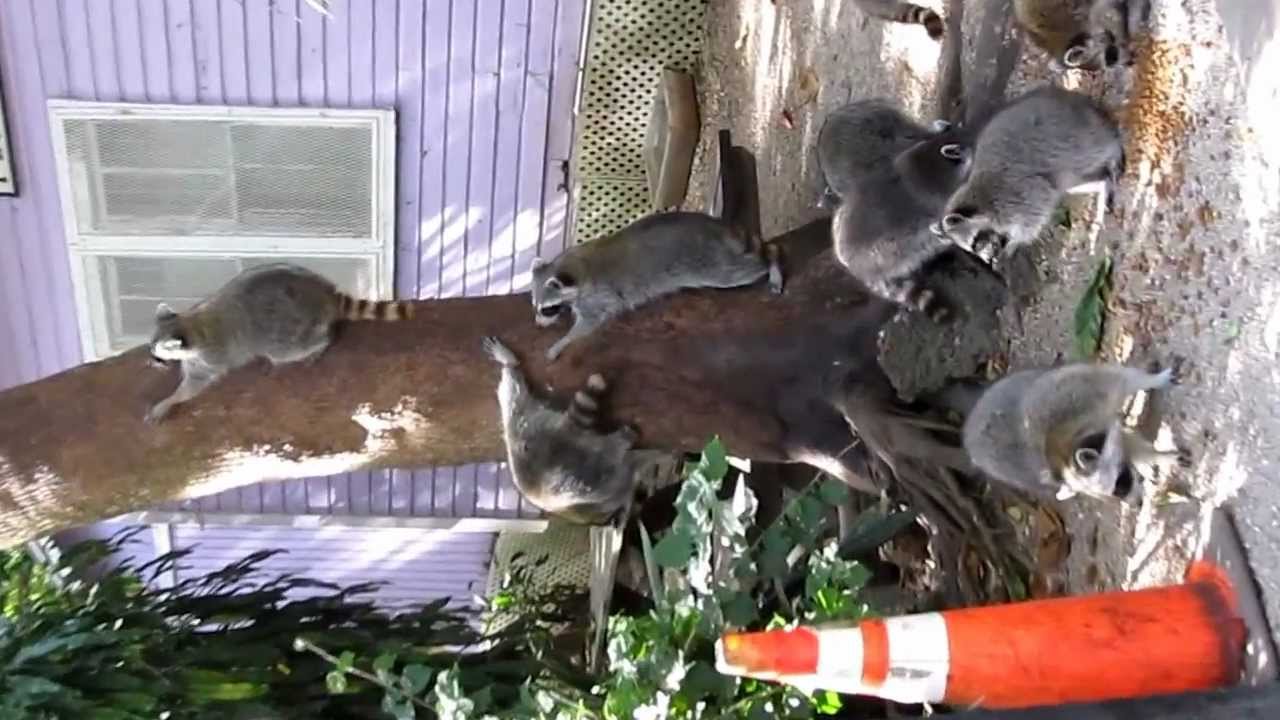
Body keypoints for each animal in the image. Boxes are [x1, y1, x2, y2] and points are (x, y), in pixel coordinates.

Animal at [145, 263, 412, 424]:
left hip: (286, 333)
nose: (152, 358)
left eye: (158, 351)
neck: (190, 323)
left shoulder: (211, 356)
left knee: (291, 349)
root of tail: (324, 293)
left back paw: (320, 344)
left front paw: (169, 401)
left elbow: (195, 385)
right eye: (152, 347)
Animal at [531, 211, 783, 362]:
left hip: (712, 262)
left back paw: (771, 260)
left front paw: (561, 343)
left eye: (547, 308)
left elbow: (590, 323)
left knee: (741, 270)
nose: (538, 324)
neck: (574, 265)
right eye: (537, 307)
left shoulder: (598, 297)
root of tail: (720, 228)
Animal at [933, 85, 1125, 260]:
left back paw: (1106, 176)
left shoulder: (1017, 195)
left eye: (976, 241)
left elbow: (1033, 219)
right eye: (972, 248)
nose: (991, 259)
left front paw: (1016, 241)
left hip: (1073, 141)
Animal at [962, 363, 1183, 500]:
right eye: (1116, 489)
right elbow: (1128, 444)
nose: (1137, 504)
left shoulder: (1079, 395)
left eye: (1120, 481)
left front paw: (1153, 380)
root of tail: (969, 433)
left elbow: (1118, 379)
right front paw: (1156, 457)